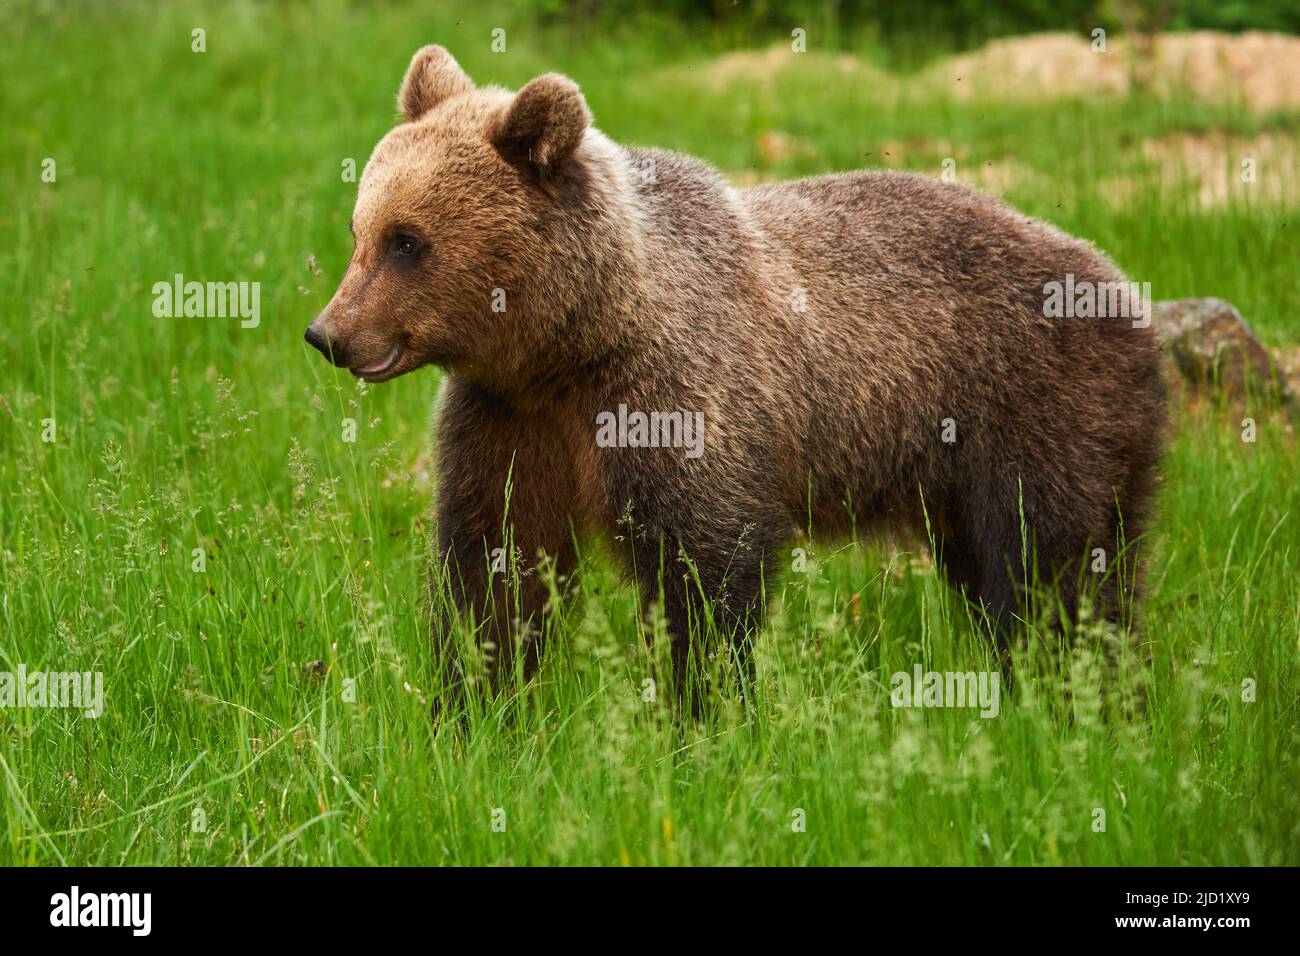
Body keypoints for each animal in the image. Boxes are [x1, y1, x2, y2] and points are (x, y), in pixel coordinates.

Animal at [305, 45, 1168, 709]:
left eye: (408, 241)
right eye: (360, 230)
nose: (328, 333)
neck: (575, 344)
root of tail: (1125, 290)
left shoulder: (673, 397)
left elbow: (705, 570)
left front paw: (704, 712)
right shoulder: (509, 418)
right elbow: (496, 561)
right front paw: (478, 704)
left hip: (1040, 411)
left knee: (1059, 572)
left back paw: (1085, 699)